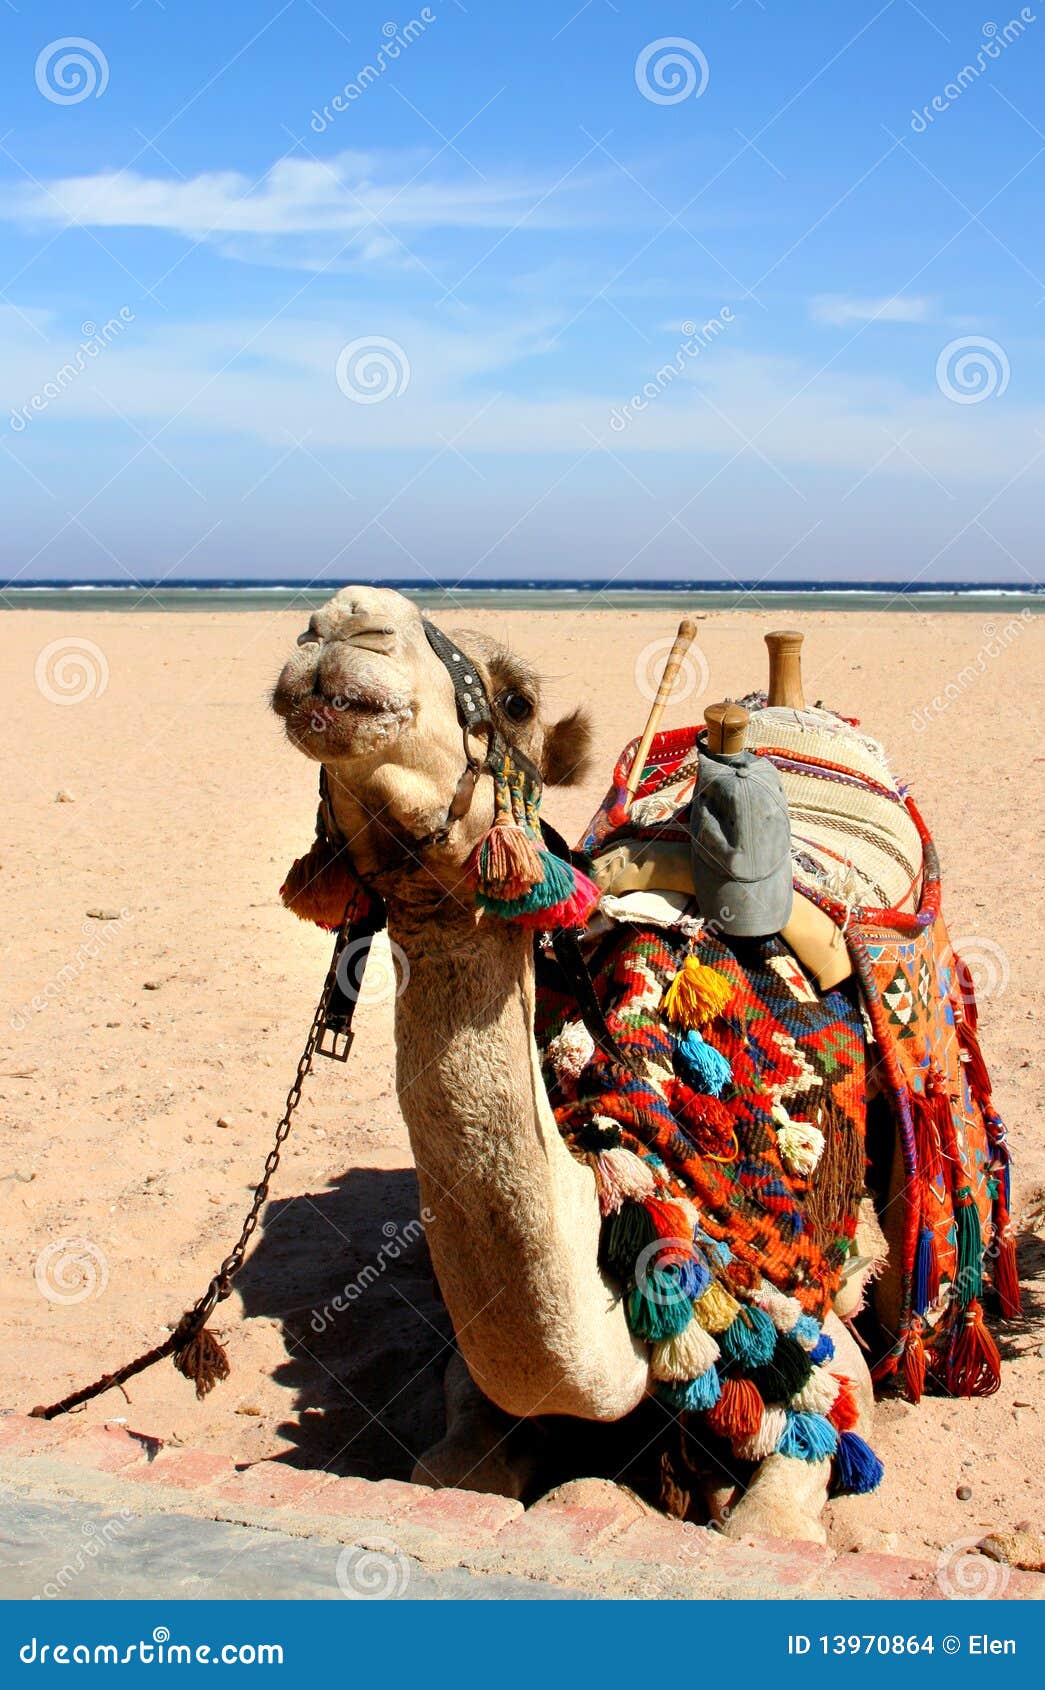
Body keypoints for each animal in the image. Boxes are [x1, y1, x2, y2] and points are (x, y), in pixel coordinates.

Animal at [271, 585, 889, 1544]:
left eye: (517, 699)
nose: (342, 622)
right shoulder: (469, 1389)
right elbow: (460, 1467)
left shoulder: (811, 1342)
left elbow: (777, 1508)